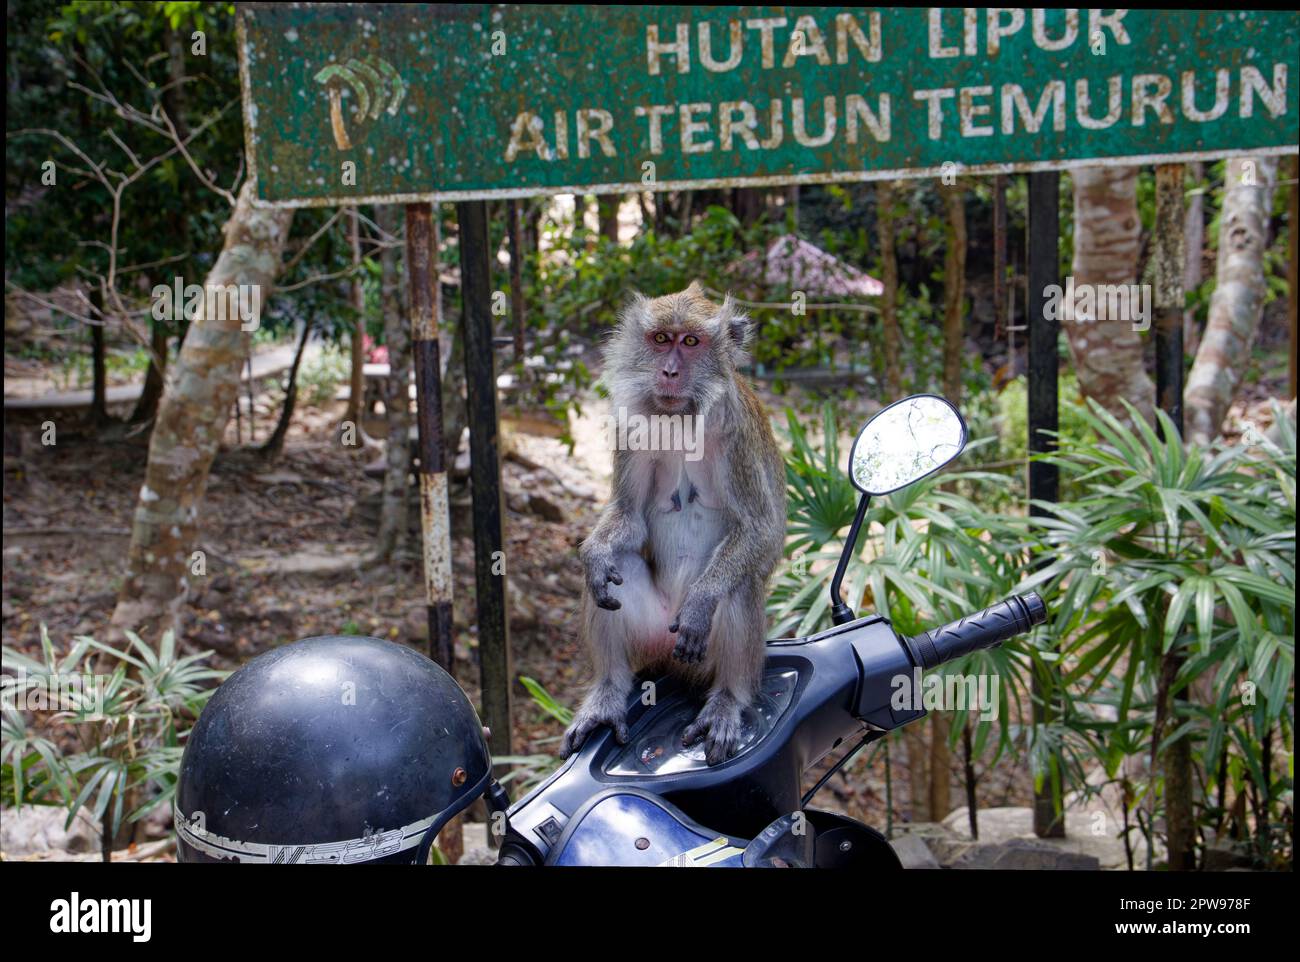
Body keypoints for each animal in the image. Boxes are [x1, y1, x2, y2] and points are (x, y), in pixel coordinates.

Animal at [559, 281, 786, 766]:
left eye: (692, 342)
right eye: (662, 339)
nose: (667, 371)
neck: (682, 417)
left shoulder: (737, 434)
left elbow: (760, 529)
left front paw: (701, 600)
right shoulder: (630, 425)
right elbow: (628, 517)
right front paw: (594, 553)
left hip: (699, 650)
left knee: (737, 584)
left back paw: (727, 700)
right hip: (651, 633)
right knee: (617, 570)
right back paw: (608, 692)